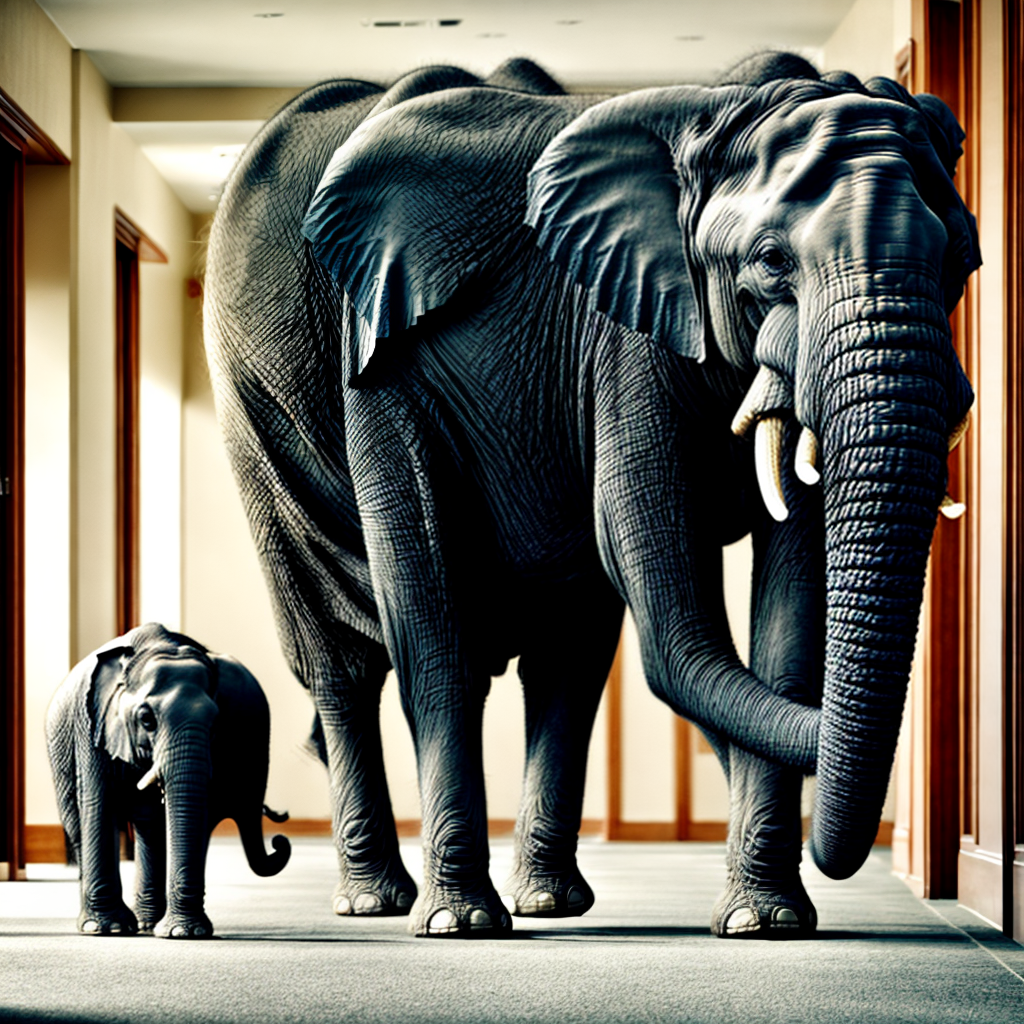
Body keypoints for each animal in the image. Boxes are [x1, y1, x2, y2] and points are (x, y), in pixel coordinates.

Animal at [46, 623, 291, 938]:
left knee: (149, 825)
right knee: (78, 823)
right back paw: (101, 925)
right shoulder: (92, 725)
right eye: (146, 720)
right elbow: (100, 802)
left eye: (216, 724)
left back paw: (148, 925)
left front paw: (184, 933)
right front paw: (111, 929)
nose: (279, 841)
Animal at [203, 51, 978, 938]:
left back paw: (547, 901)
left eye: (961, 266)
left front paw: (767, 922)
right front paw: (459, 928)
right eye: (771, 262)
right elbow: (610, 571)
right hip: (267, 417)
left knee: (566, 656)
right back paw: (386, 905)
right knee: (355, 657)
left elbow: (788, 609)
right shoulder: (609, 340)